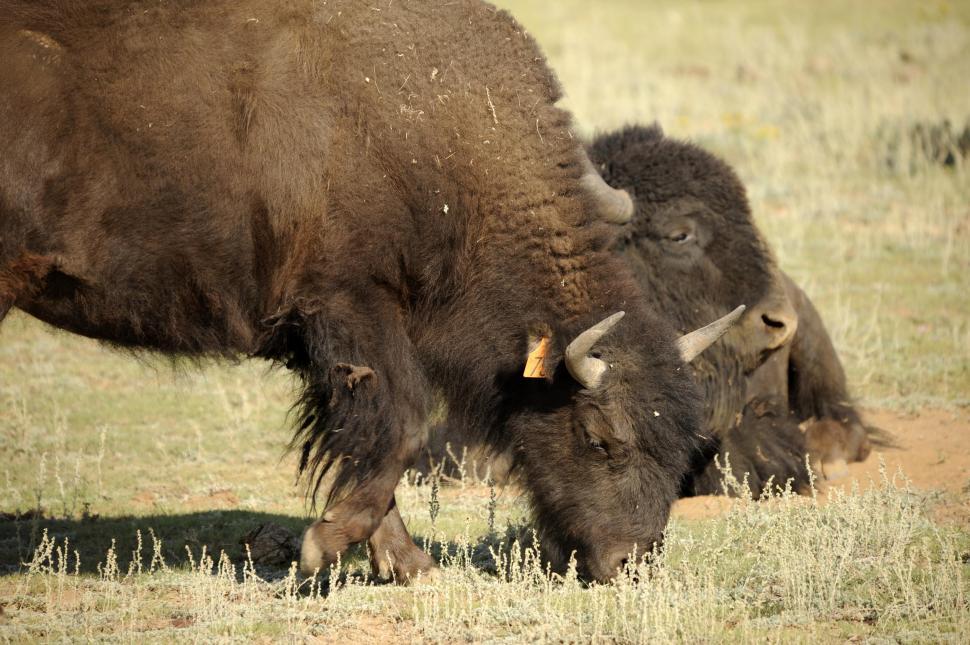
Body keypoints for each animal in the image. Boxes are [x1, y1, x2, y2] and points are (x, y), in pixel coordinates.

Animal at [0, 1, 739, 583]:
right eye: (599, 436)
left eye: (684, 447)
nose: (629, 563)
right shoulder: (350, 310)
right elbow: (399, 430)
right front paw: (324, 548)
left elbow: (368, 442)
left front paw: (402, 563)